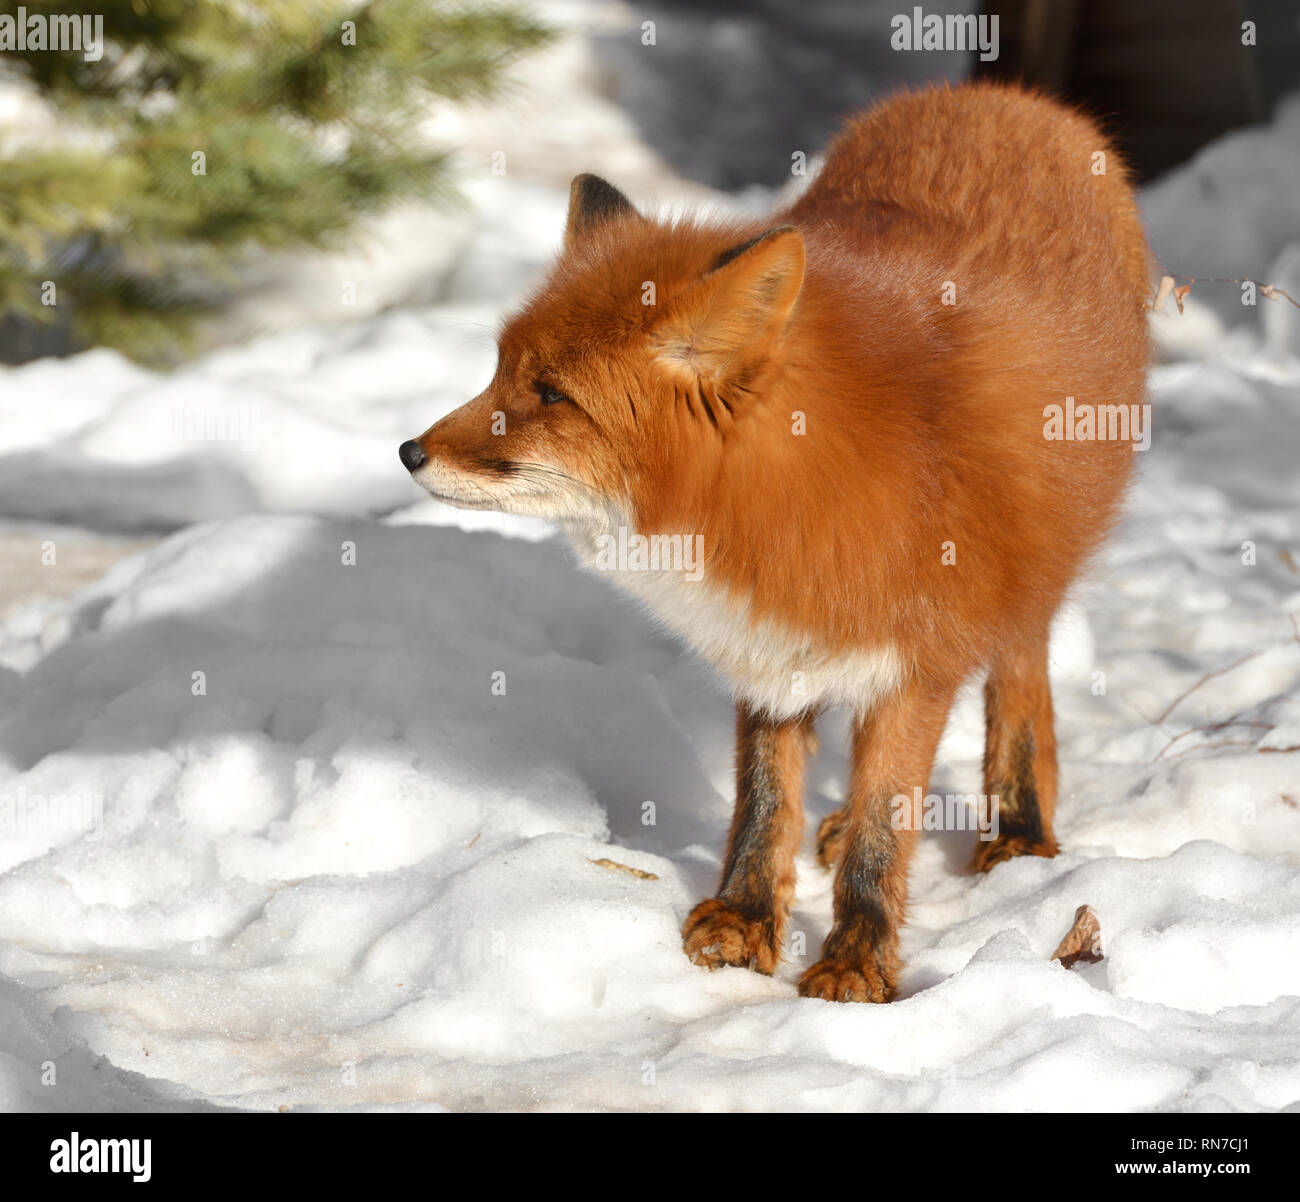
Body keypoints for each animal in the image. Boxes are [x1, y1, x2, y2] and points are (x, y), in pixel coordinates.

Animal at [400, 82, 1152, 1003]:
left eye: (550, 395)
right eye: (499, 369)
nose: (409, 452)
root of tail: (1001, 96)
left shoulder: (918, 664)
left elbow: (884, 830)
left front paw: (857, 960)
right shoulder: (769, 649)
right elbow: (763, 803)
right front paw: (746, 919)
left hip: (1031, 567)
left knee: (1020, 683)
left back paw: (1020, 834)